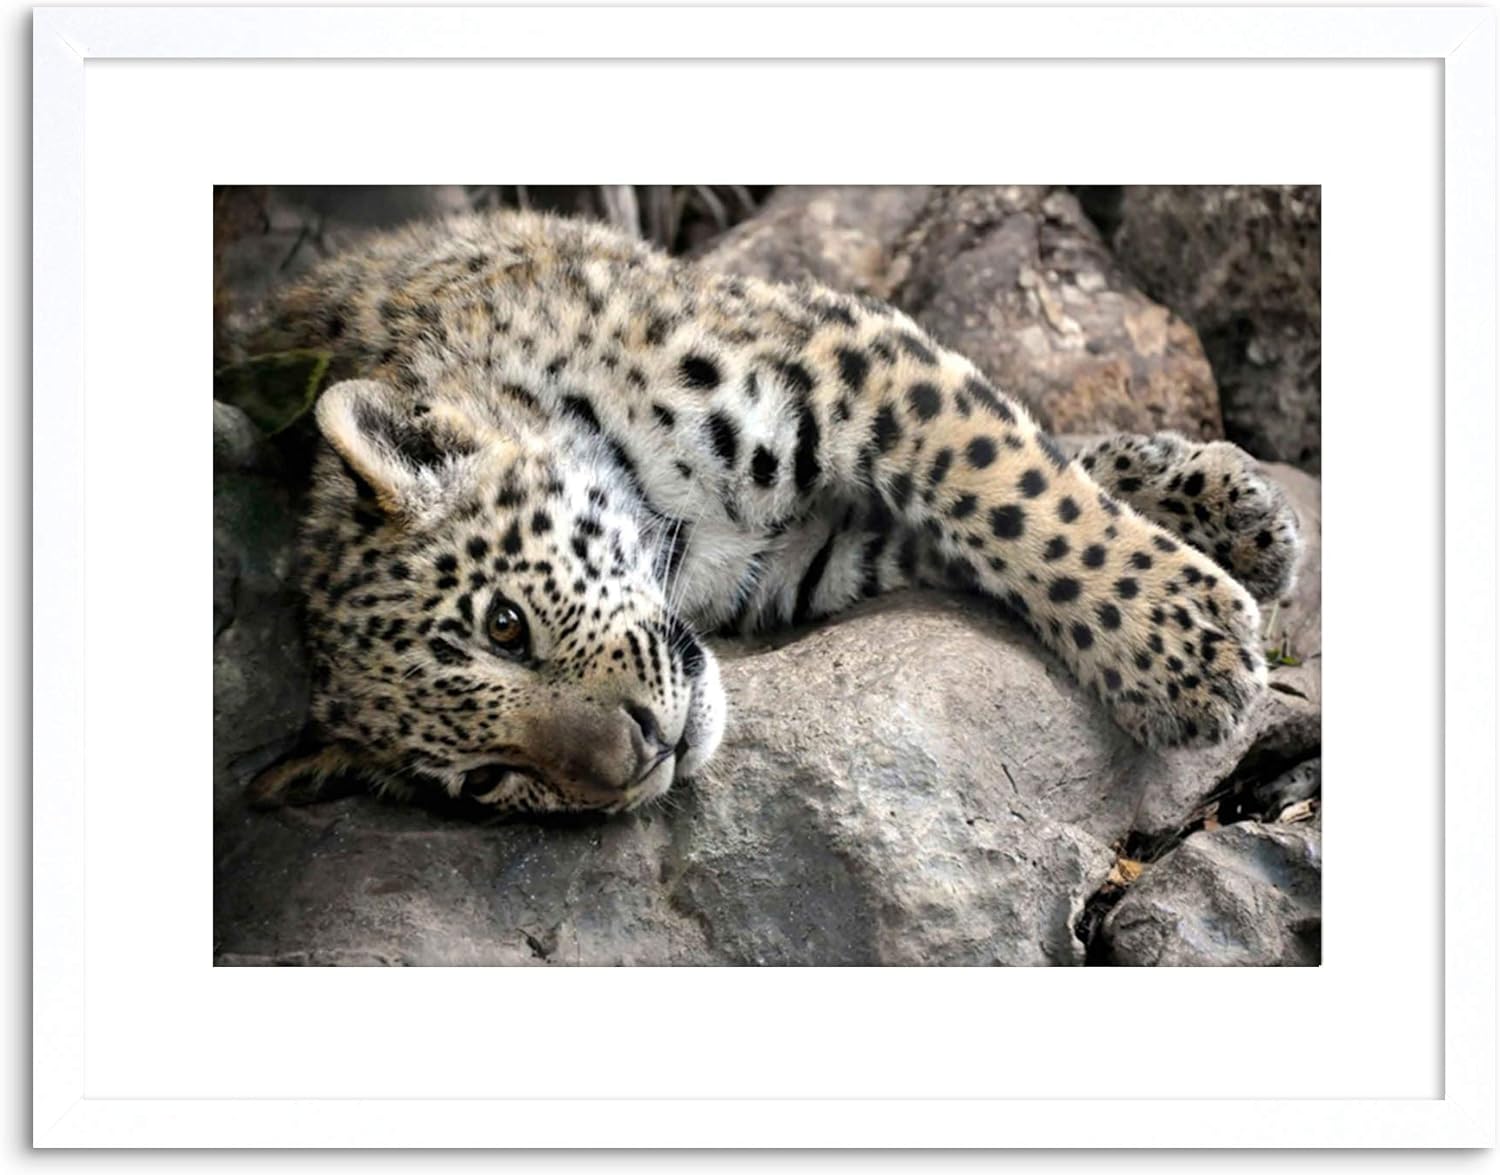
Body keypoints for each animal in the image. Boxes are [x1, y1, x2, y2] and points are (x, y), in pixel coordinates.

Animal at [243, 209, 1301, 817]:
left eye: (505, 624)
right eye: (488, 780)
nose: (642, 756)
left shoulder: (841, 360)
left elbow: (1009, 489)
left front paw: (1185, 646)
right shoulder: (815, 556)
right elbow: (979, 518)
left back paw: (1234, 504)